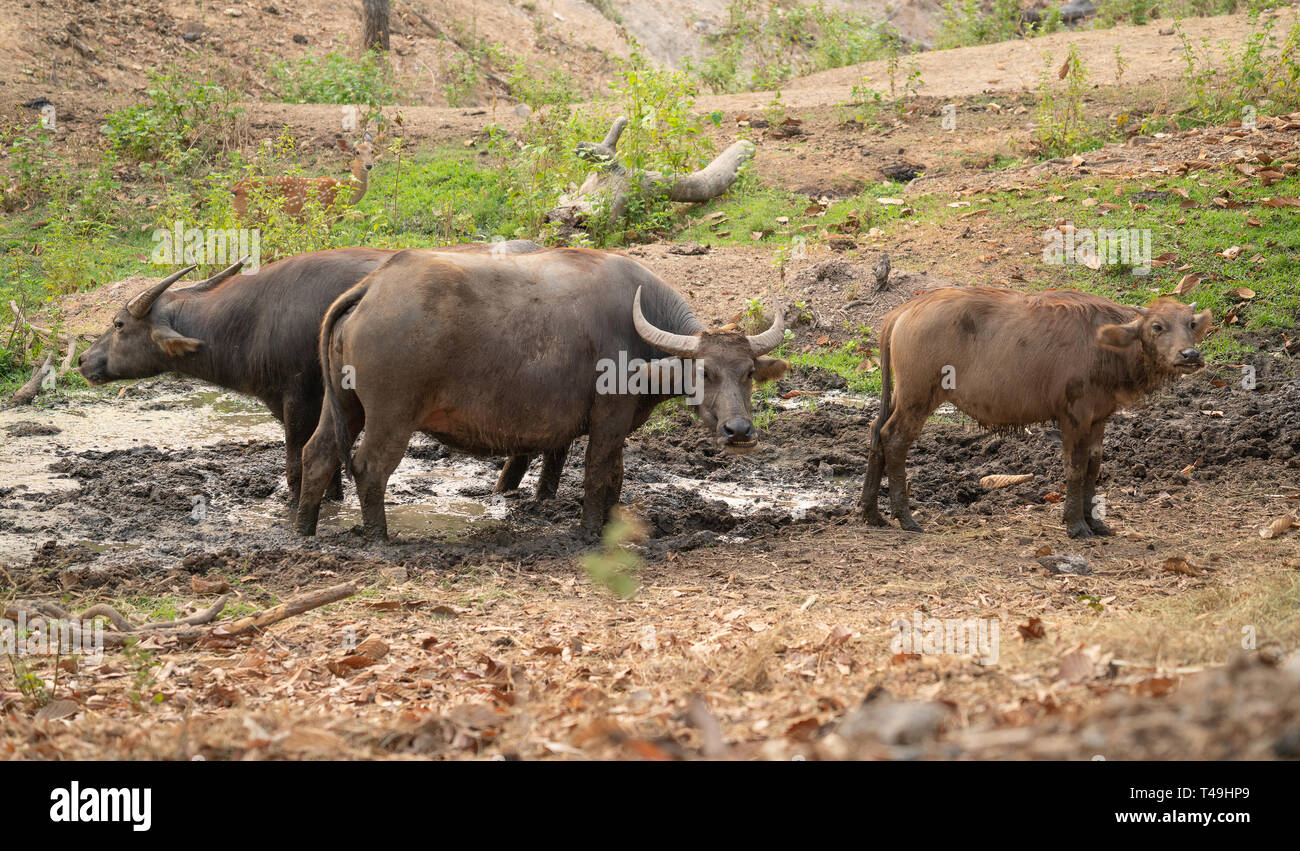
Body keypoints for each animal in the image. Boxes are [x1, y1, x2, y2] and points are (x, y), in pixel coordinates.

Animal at [295, 247, 789, 539]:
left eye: (748, 372)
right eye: (704, 372)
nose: (739, 431)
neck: (639, 335)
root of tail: (372, 287)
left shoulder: (619, 425)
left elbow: (616, 475)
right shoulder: (608, 418)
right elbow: (597, 473)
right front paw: (590, 534)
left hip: (344, 404)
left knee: (316, 454)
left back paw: (303, 529)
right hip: (389, 415)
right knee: (370, 467)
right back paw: (379, 537)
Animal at [860, 288, 1211, 538]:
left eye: (1191, 325)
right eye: (1157, 326)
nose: (1190, 355)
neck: (1105, 346)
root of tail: (905, 310)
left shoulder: (1099, 418)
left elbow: (1094, 467)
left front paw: (1095, 523)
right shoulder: (1074, 417)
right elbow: (1075, 467)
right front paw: (1075, 525)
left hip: (899, 395)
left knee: (876, 432)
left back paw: (871, 514)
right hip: (918, 396)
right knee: (894, 439)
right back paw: (906, 518)